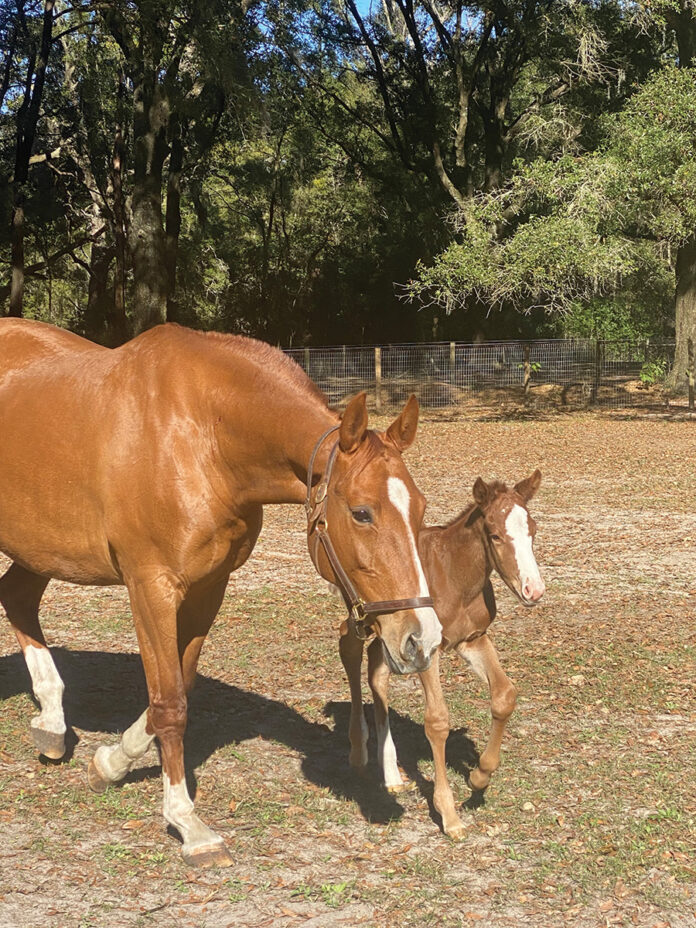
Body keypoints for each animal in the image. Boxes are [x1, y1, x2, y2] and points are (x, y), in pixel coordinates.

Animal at [0, 318, 442, 867]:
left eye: (421, 507)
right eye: (362, 512)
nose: (422, 639)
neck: (201, 436)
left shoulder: (210, 587)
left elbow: (179, 687)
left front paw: (110, 763)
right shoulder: (151, 587)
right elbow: (169, 702)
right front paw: (188, 823)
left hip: (41, 546)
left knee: (17, 598)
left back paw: (52, 723)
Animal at [339, 471, 544, 838]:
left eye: (532, 531)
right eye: (495, 535)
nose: (533, 590)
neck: (455, 576)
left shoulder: (473, 639)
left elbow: (504, 695)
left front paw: (479, 777)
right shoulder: (426, 648)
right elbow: (437, 721)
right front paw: (449, 814)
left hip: (390, 633)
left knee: (377, 670)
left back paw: (391, 774)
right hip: (361, 614)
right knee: (348, 648)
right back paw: (359, 752)